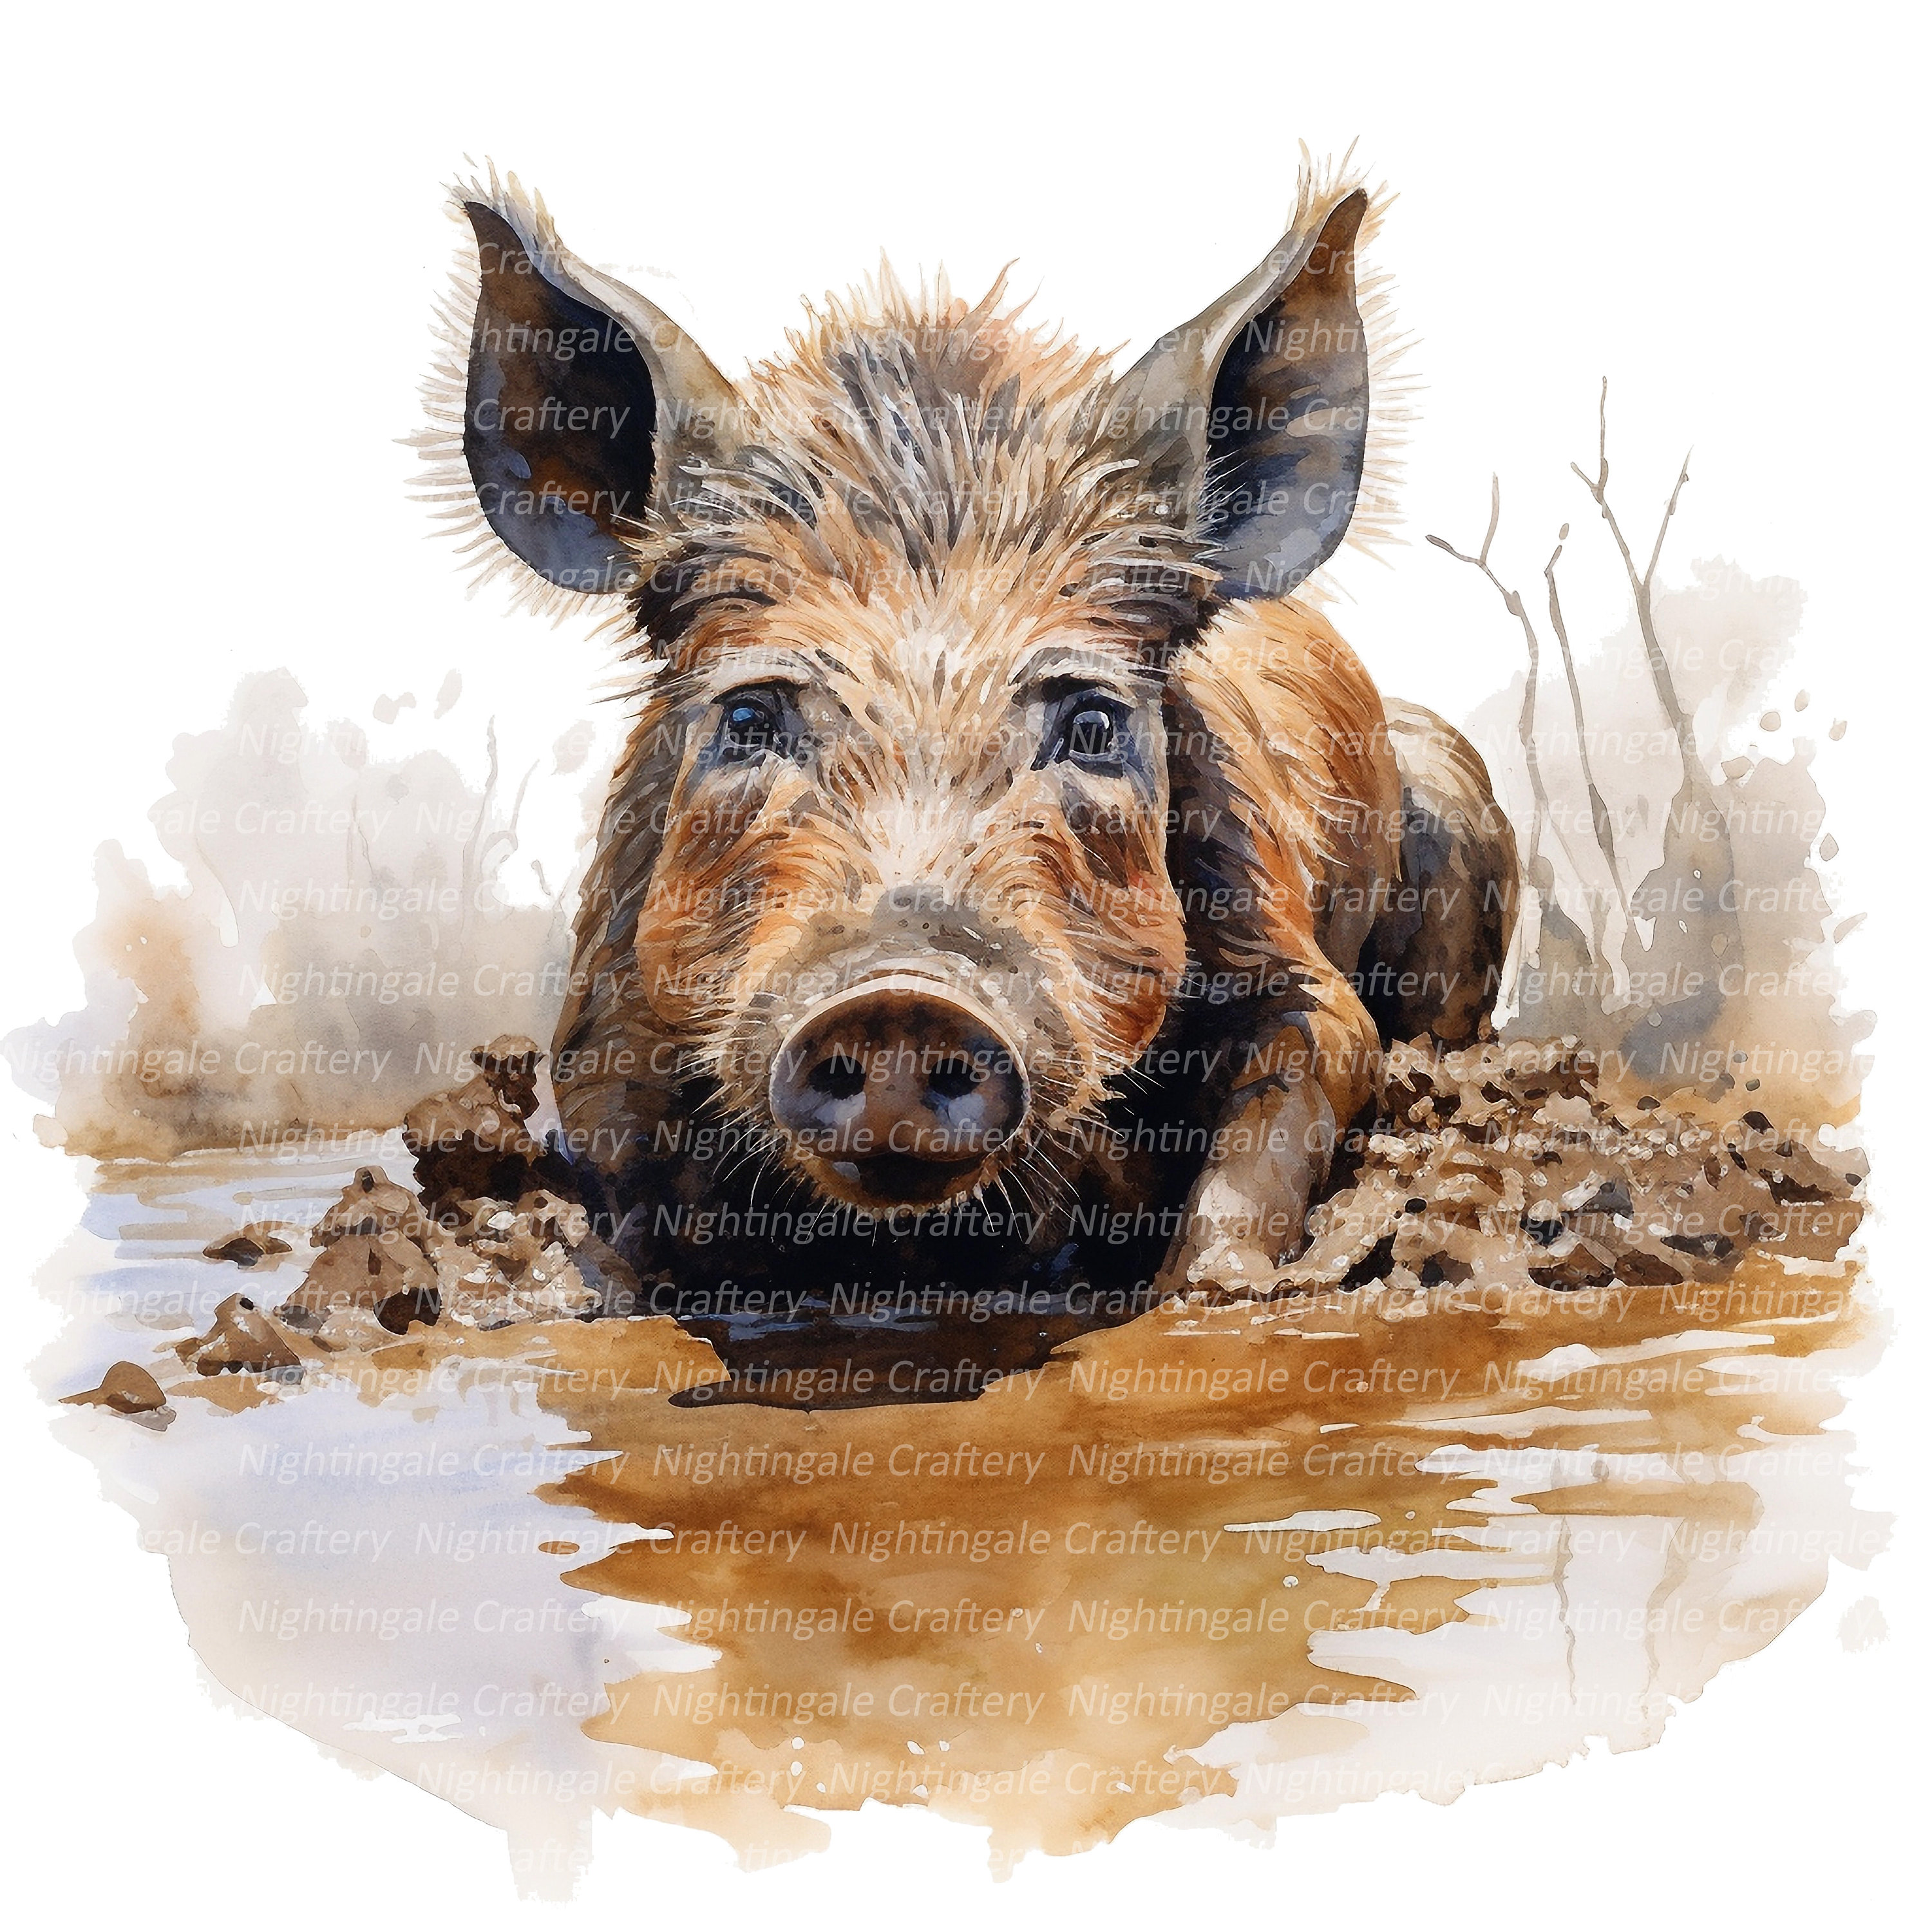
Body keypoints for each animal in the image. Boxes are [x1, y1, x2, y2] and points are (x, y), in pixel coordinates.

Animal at [417, 161, 1517, 1307]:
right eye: (750, 715)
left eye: (1091, 722)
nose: (903, 999)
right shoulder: (603, 1026)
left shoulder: (1296, 969)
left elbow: (1301, 1087)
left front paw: (1216, 1291)